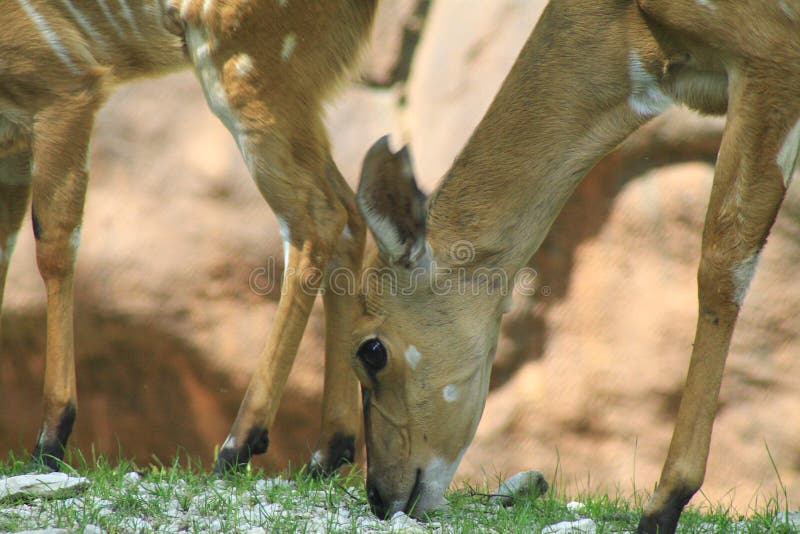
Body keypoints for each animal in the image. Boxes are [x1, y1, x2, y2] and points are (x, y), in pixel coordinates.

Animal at [0, 0, 376, 475]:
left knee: (317, 219)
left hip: (249, 75)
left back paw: (237, 445)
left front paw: (50, 440)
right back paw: (326, 452)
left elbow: (53, 244)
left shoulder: (64, 86)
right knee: (349, 217)